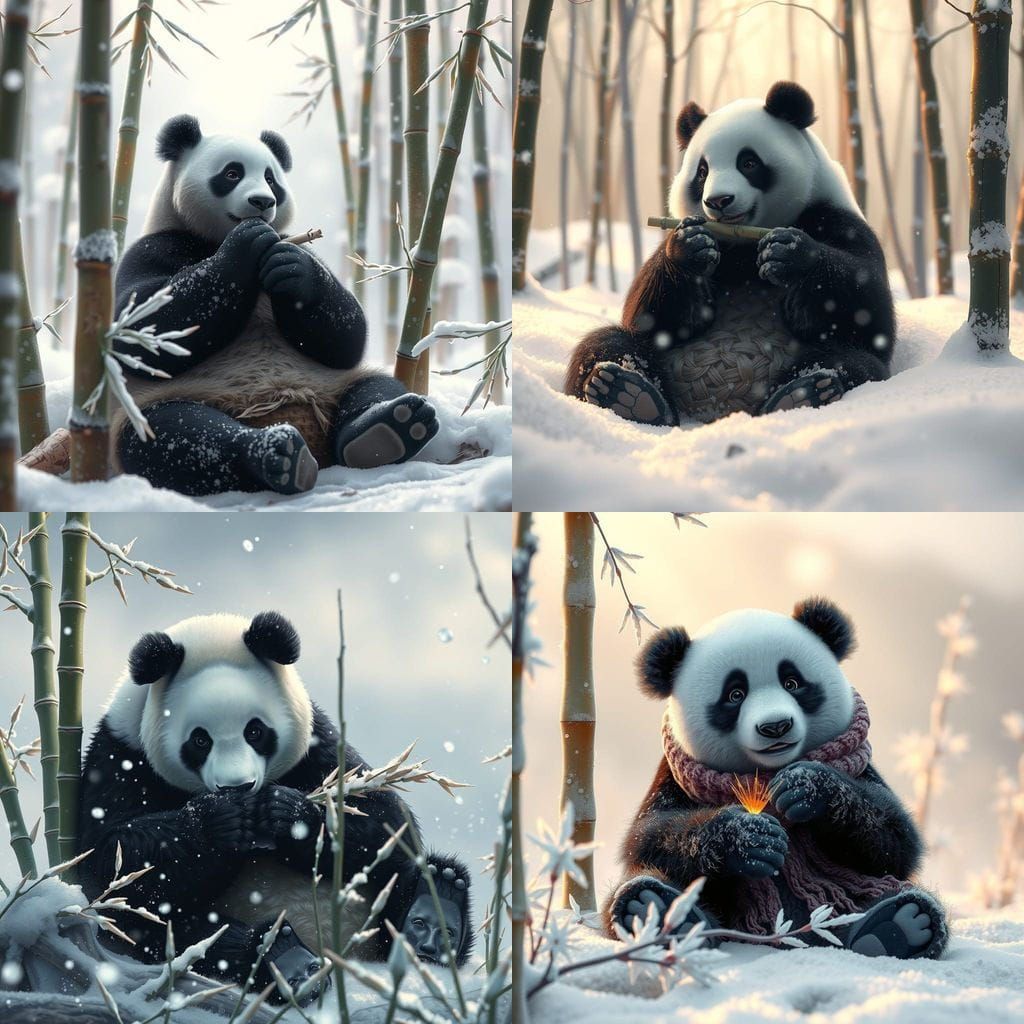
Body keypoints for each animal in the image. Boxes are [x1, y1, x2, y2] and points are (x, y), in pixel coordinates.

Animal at [76, 611, 473, 1005]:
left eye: (255, 731)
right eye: (200, 740)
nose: (236, 787)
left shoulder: (318, 742)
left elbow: (382, 818)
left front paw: (284, 814)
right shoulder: (121, 754)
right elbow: (116, 863)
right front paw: (222, 821)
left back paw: (436, 906)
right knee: (171, 933)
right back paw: (282, 956)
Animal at [112, 115, 439, 497]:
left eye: (271, 178)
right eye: (232, 173)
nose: (262, 202)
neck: (213, 239)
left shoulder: (295, 245)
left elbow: (346, 339)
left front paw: (294, 270)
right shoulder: (157, 245)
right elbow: (142, 329)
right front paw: (244, 247)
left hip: (333, 384)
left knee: (375, 386)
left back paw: (391, 427)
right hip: (172, 400)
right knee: (172, 435)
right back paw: (274, 454)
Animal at [565, 81, 895, 424]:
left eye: (748, 162)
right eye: (702, 171)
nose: (718, 201)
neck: (743, 247)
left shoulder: (835, 217)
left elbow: (870, 315)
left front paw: (789, 254)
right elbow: (649, 317)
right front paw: (690, 248)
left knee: (852, 360)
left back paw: (803, 392)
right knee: (609, 342)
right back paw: (627, 393)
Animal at [605, 597, 948, 961]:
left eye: (792, 683)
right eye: (735, 694)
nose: (775, 726)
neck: (764, 775)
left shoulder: (861, 770)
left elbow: (895, 844)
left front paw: (808, 789)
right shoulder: (673, 778)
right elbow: (647, 840)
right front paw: (749, 837)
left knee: (900, 895)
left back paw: (898, 926)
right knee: (641, 885)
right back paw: (659, 913)